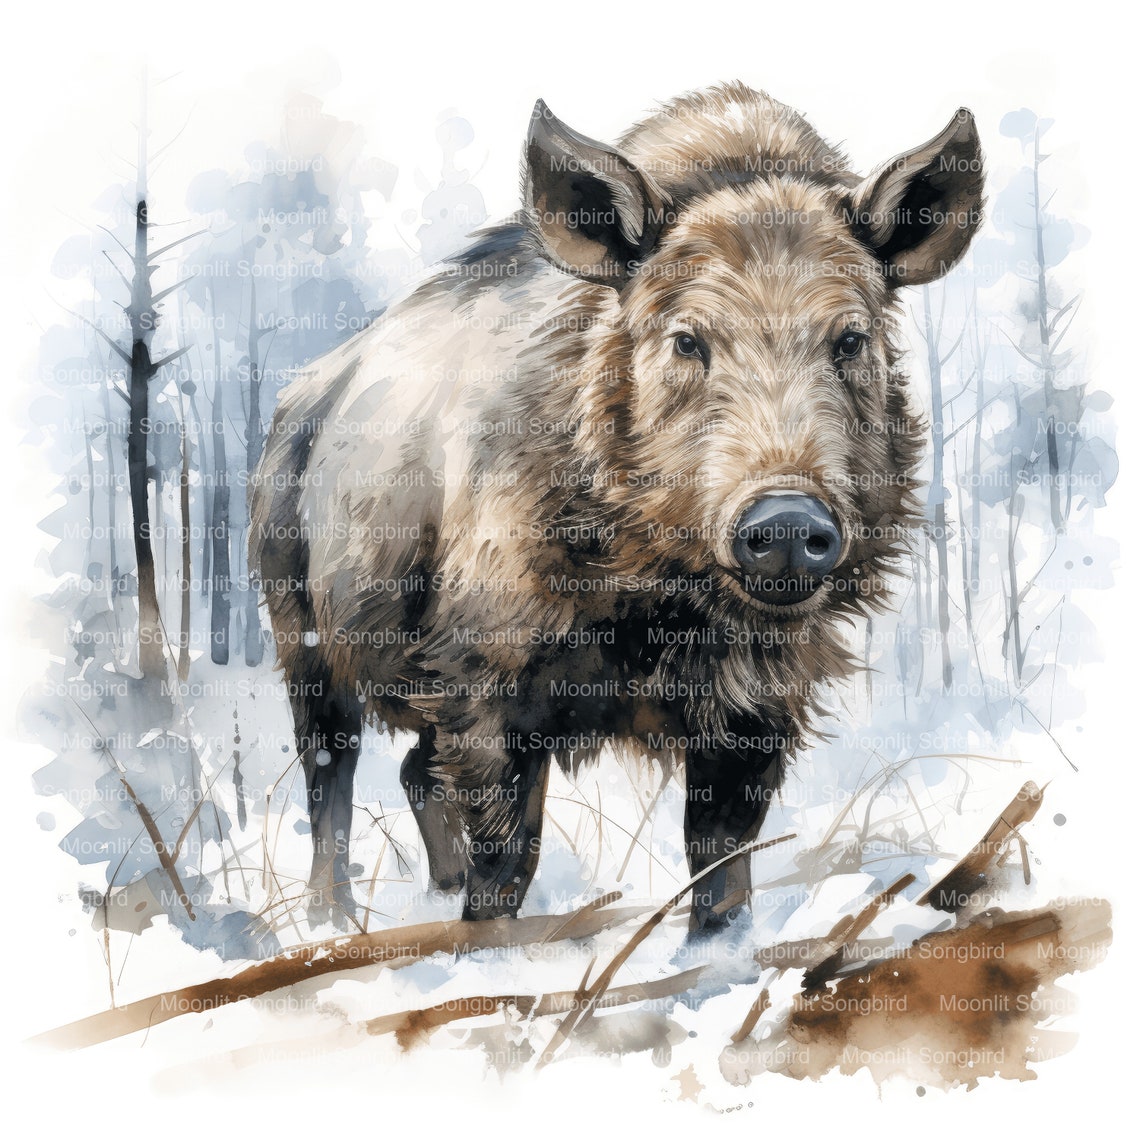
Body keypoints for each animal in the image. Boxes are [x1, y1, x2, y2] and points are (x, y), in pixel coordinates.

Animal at [249, 81, 983, 932]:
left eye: (851, 339)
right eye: (688, 339)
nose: (786, 521)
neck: (660, 603)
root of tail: (300, 400)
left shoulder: (761, 701)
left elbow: (721, 862)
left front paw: (715, 949)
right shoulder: (487, 668)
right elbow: (506, 862)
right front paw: (484, 948)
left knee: (412, 770)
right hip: (298, 630)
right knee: (331, 775)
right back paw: (332, 922)